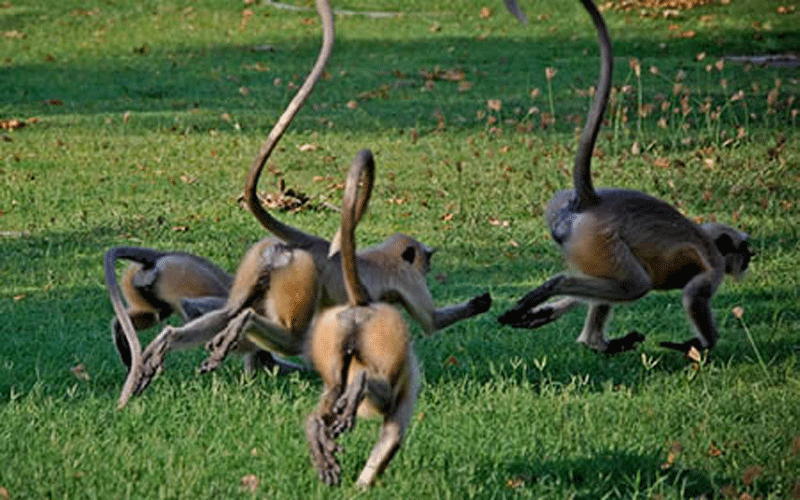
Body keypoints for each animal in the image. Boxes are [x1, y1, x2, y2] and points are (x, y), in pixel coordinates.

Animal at [304, 148, 419, 488]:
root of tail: (362, 304)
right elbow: (392, 436)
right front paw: (362, 487)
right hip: (387, 338)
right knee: (379, 387)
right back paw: (360, 386)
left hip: (330, 332)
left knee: (332, 388)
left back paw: (318, 429)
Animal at [497, 0, 754, 356]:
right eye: (743, 251)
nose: (749, 260)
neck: (707, 236)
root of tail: (593, 201)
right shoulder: (714, 265)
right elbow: (693, 296)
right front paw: (701, 345)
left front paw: (547, 313)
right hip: (602, 239)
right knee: (635, 285)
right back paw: (562, 293)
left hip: (590, 244)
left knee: (614, 287)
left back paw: (595, 341)